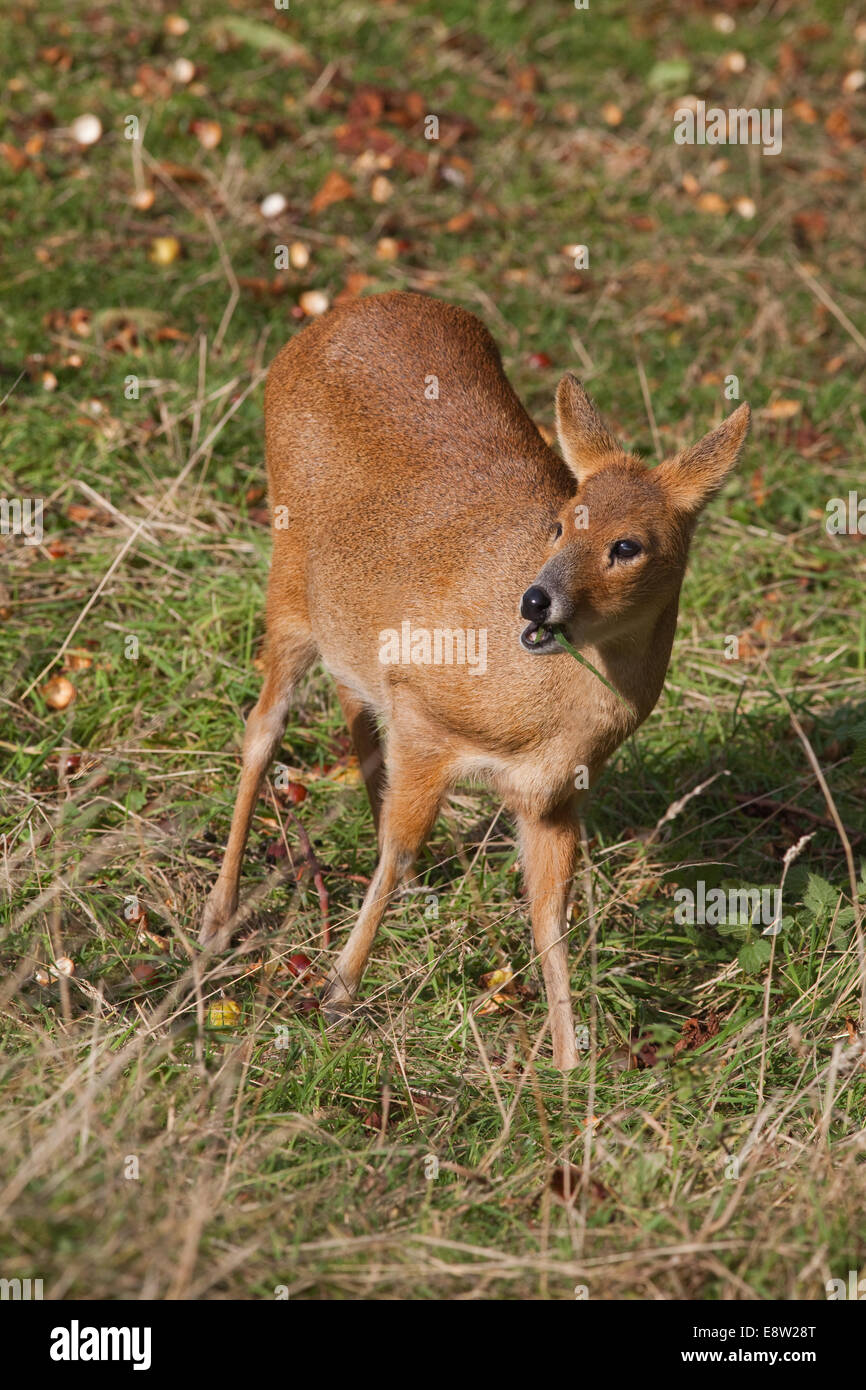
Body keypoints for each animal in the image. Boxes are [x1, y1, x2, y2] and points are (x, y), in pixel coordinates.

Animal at [200, 290, 750, 1070]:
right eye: (560, 523)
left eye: (628, 545)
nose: (536, 600)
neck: (547, 719)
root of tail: (337, 315)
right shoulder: (425, 719)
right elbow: (398, 845)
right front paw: (339, 991)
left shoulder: (552, 796)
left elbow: (550, 914)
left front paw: (570, 1063)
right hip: (288, 578)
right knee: (262, 729)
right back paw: (218, 920)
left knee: (351, 708)